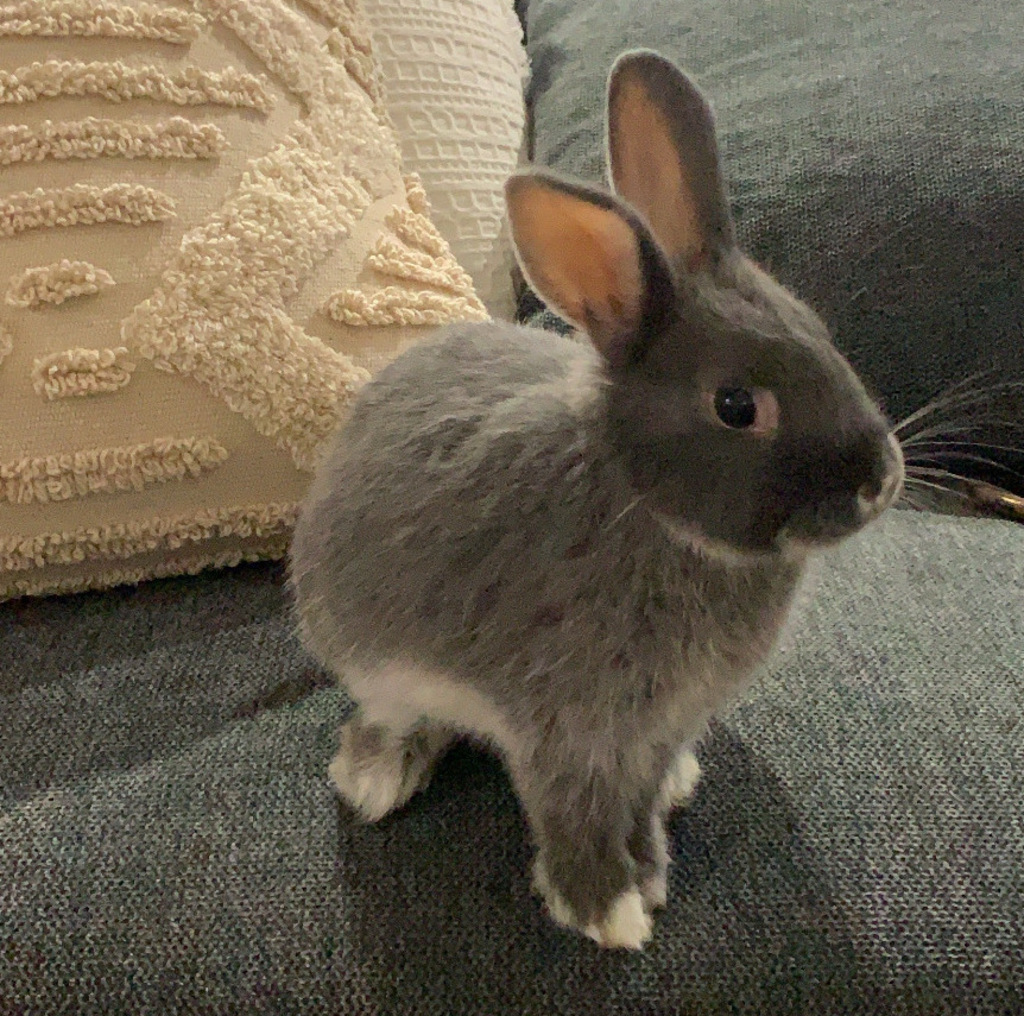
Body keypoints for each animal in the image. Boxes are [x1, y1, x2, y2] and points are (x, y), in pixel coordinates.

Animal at [288, 49, 905, 950]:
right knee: (392, 714)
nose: (882, 480)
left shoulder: (654, 728)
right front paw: (607, 910)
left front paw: (647, 868)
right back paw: (373, 778)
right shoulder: (567, 732)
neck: (646, 506)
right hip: (372, 658)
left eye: (822, 335)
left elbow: (639, 800)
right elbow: (570, 814)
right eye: (736, 406)